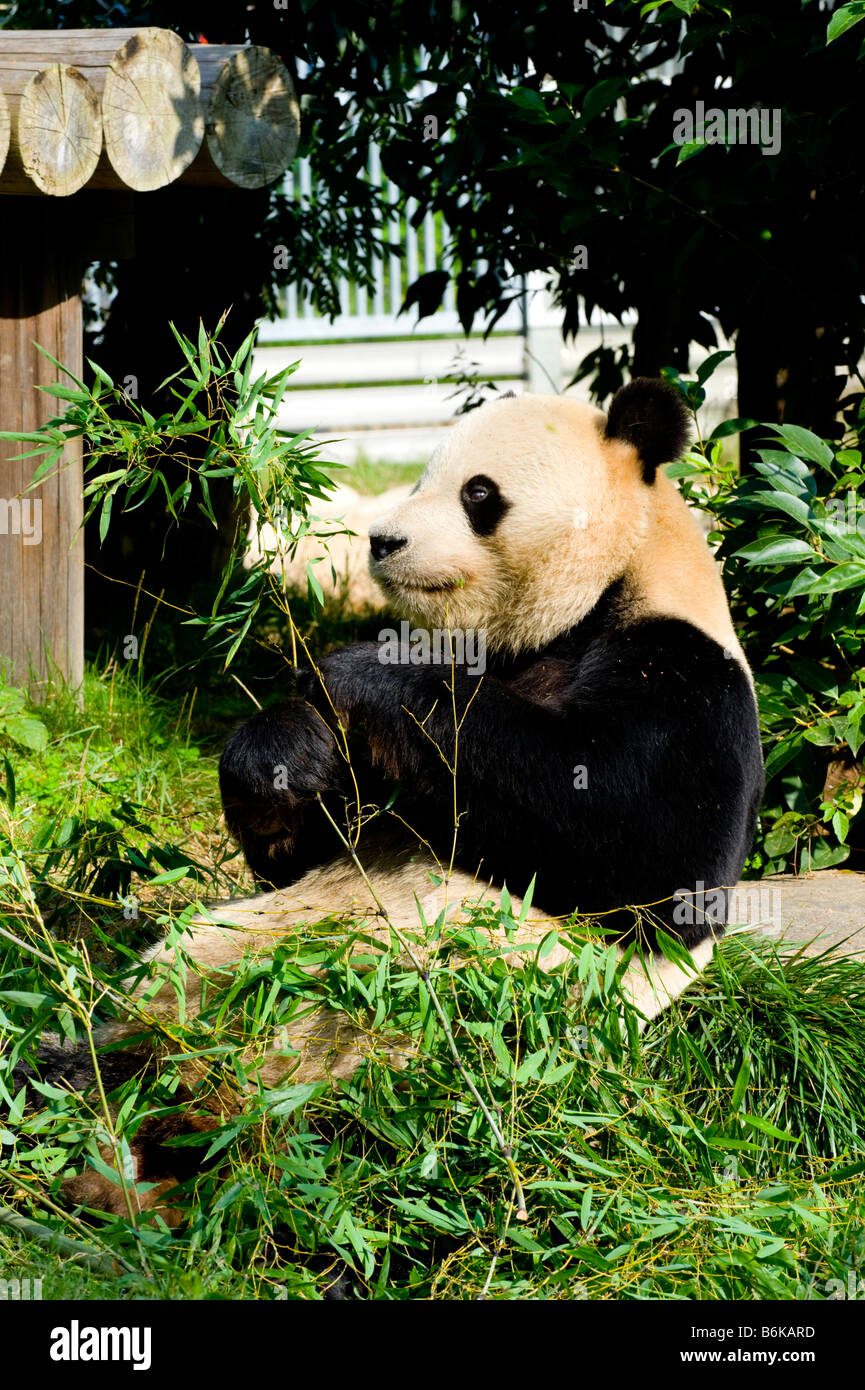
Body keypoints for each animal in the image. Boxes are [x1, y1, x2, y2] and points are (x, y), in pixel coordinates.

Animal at [39, 379, 765, 1221]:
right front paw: (289, 754)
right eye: (420, 477)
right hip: (216, 966)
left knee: (394, 1140)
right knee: (148, 1014)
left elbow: (651, 857)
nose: (382, 541)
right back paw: (80, 1097)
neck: (585, 602)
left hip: (462, 1049)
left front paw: (364, 672)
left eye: (477, 493)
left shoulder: (681, 668)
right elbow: (306, 847)